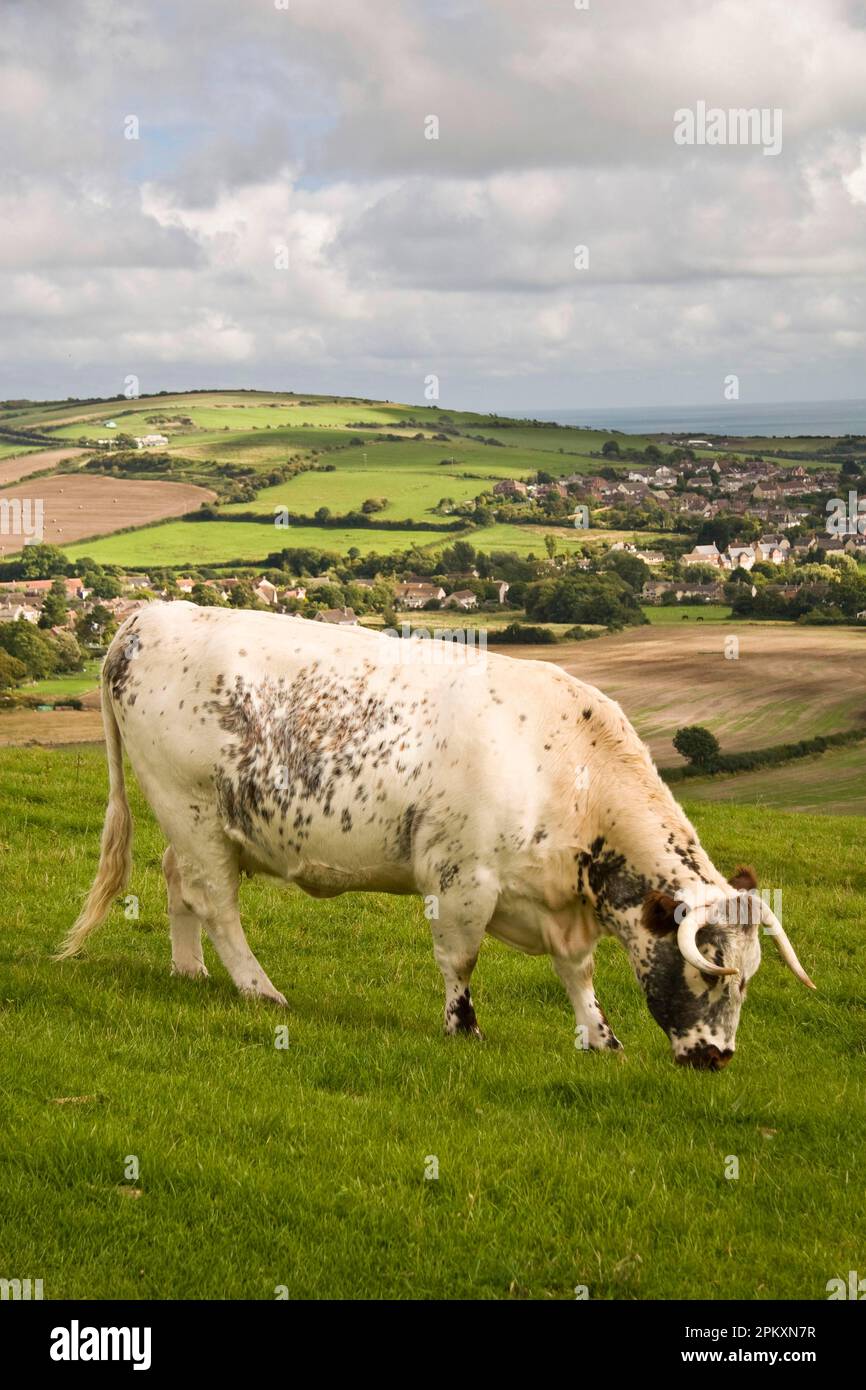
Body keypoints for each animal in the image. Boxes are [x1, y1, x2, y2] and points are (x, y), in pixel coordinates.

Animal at [57, 601, 814, 1068]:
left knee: (177, 881)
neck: (573, 770)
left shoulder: (563, 903)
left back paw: (189, 971)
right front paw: (462, 1026)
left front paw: (600, 1037)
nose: (716, 1057)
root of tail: (152, 614)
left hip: (201, 822)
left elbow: (578, 972)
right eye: (707, 968)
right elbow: (461, 959)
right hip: (189, 806)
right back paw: (259, 990)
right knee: (217, 903)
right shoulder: (462, 877)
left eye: (749, 979)